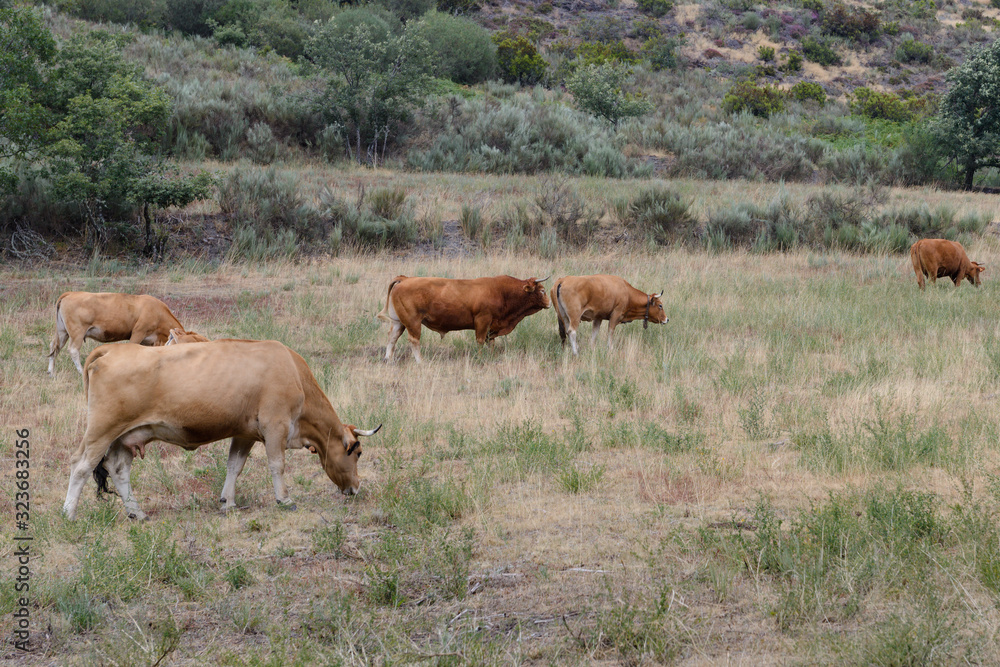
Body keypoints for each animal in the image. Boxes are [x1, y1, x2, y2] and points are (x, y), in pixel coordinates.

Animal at [48, 292, 186, 375]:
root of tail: (71, 293)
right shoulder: (138, 332)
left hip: (62, 332)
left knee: (54, 347)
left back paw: (51, 372)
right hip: (77, 332)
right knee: (73, 350)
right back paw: (82, 372)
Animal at [62, 340, 380, 520]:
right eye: (358, 453)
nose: (356, 487)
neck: (292, 370)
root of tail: (111, 349)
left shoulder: (245, 433)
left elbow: (234, 466)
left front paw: (228, 502)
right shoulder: (275, 426)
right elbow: (277, 464)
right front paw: (285, 499)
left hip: (125, 437)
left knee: (118, 469)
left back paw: (136, 512)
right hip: (102, 430)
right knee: (80, 466)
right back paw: (69, 513)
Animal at [377, 275, 551, 363]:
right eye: (542, 290)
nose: (550, 303)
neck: (501, 291)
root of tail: (406, 278)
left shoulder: (491, 326)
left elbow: (491, 342)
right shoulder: (482, 320)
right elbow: (480, 341)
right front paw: (480, 358)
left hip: (399, 322)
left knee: (392, 337)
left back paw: (388, 358)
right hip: (413, 322)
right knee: (413, 340)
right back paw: (420, 361)